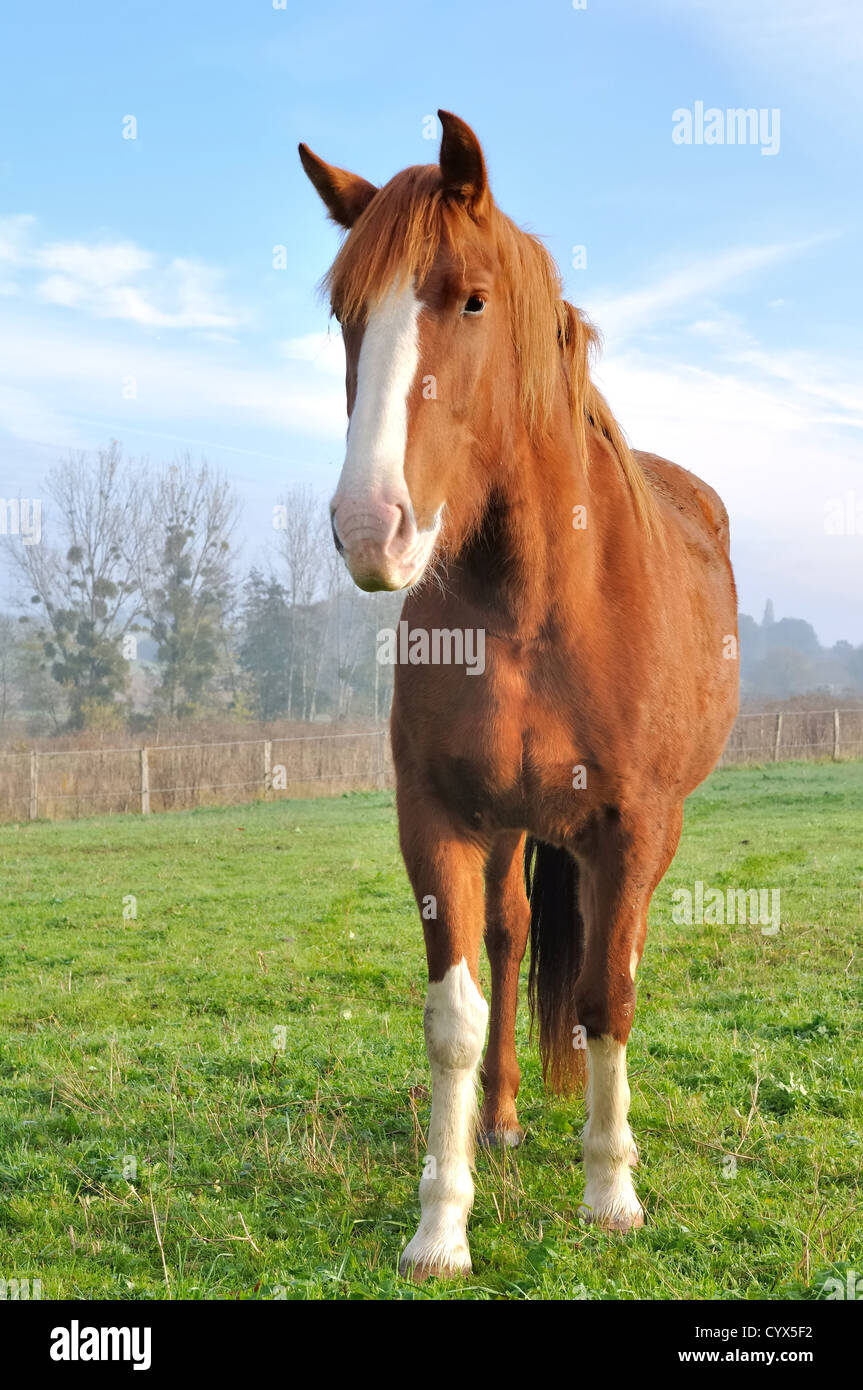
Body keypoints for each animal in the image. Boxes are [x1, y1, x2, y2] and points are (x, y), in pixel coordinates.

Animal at [299, 110, 739, 1281]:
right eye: (344, 314)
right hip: (506, 831)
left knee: (602, 962)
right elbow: (454, 1012)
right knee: (507, 937)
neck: (535, 604)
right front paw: (439, 1224)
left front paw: (610, 1193)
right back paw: (497, 1120)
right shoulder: (439, 820)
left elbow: (605, 998)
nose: (372, 527)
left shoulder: (629, 827)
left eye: (471, 300)